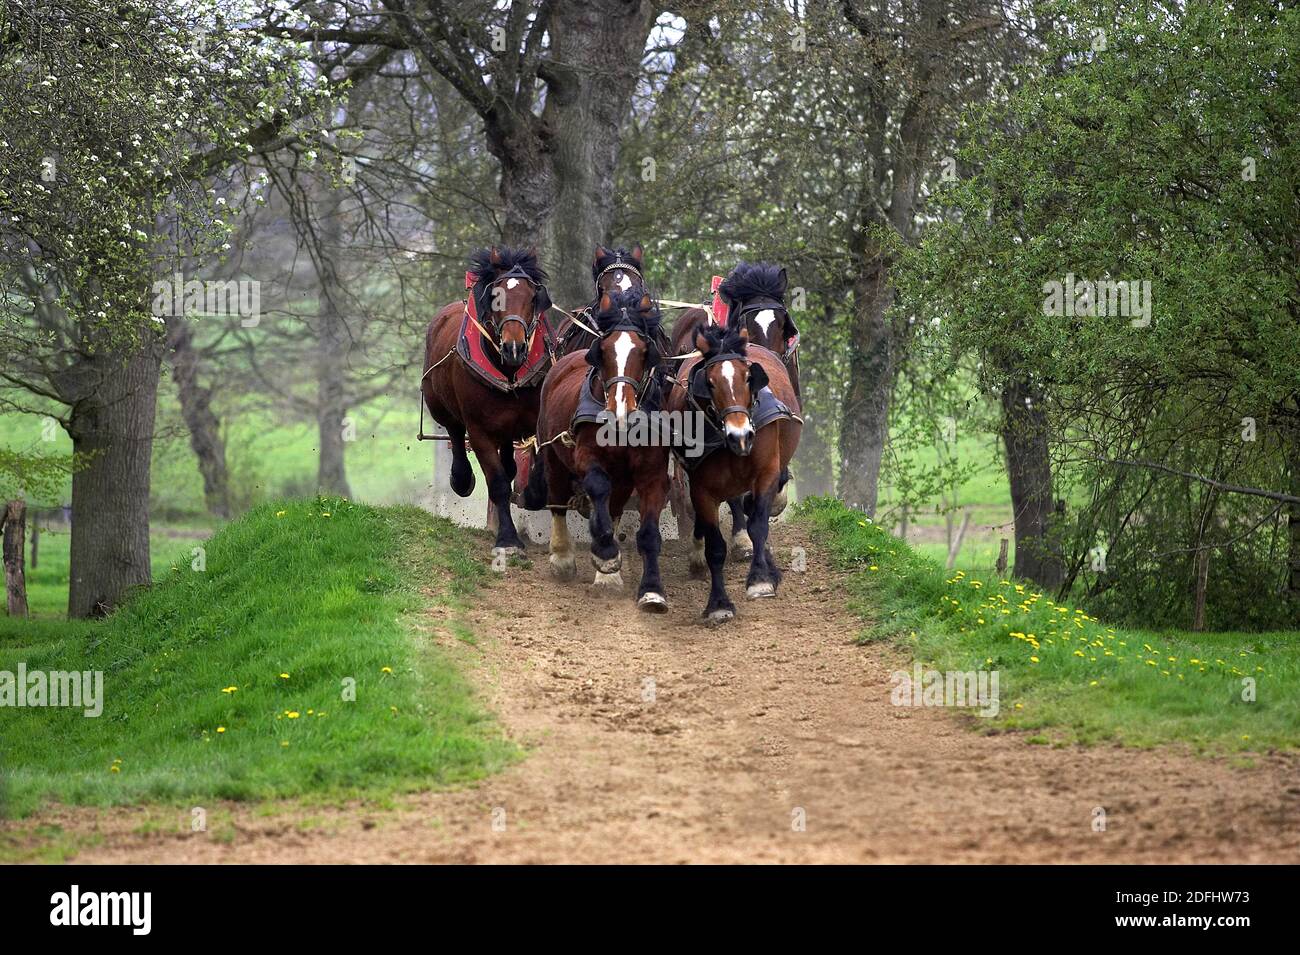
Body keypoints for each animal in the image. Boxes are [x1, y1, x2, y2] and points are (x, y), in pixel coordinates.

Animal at [421, 246, 553, 556]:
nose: (514, 347)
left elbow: (537, 468)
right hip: (441, 407)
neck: (509, 370)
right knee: (456, 434)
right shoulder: (480, 432)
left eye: (533, 297)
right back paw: (461, 478)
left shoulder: (538, 419)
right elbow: (498, 483)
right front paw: (508, 539)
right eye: (495, 297)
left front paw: (534, 494)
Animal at [523, 288, 671, 611]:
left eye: (643, 351)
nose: (619, 409)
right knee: (557, 501)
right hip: (553, 457)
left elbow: (648, 533)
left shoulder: (652, 474)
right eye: (603, 350)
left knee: (614, 507)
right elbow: (597, 487)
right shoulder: (586, 458)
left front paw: (652, 591)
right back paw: (563, 557)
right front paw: (604, 554)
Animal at [663, 322, 801, 624]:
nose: (740, 435)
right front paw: (718, 603)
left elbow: (758, 525)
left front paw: (760, 579)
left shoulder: (766, 473)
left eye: (748, 377)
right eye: (710, 383)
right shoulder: (702, 487)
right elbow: (715, 547)